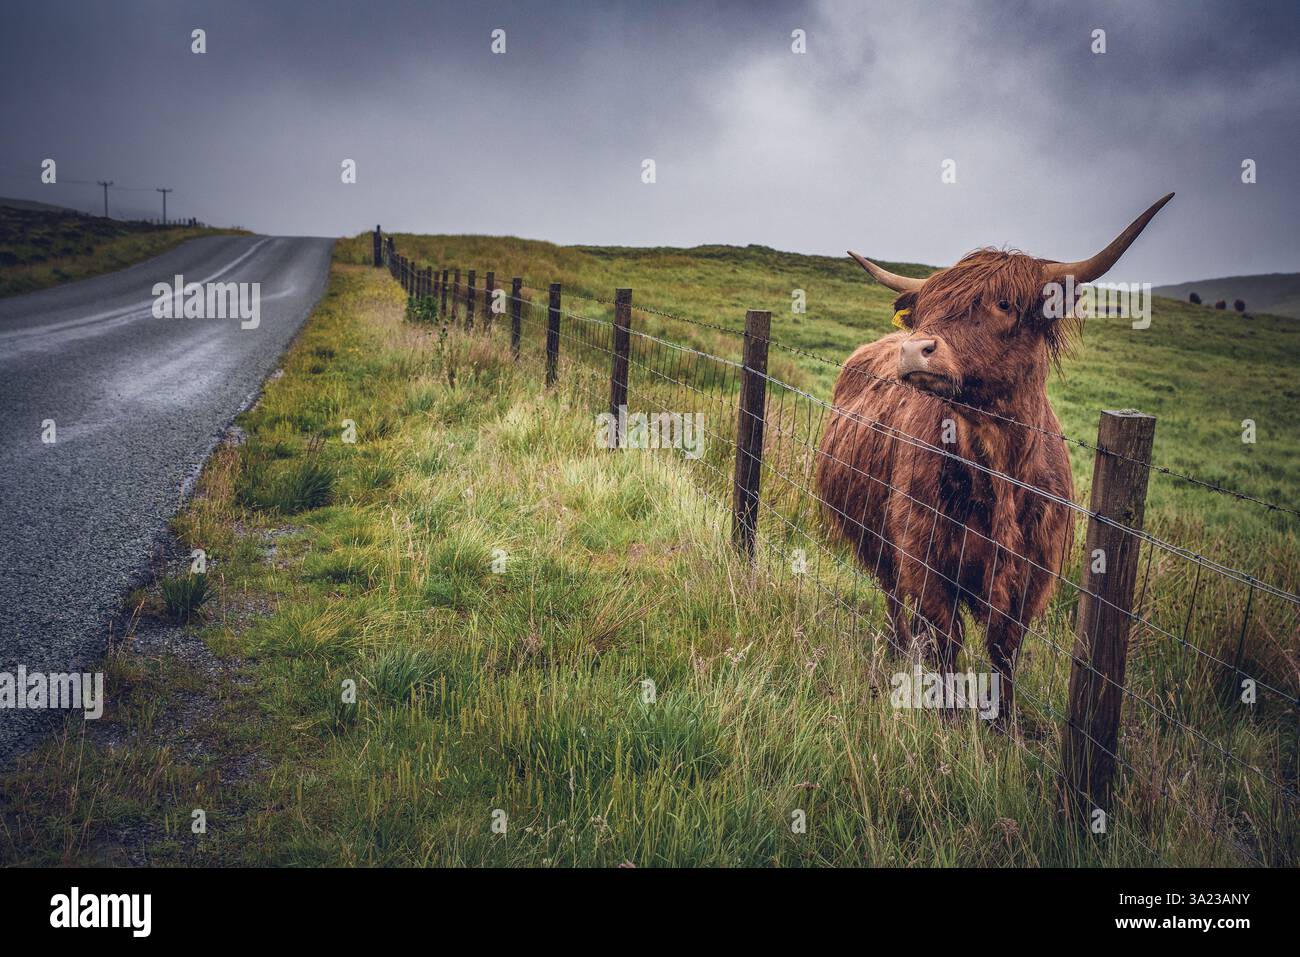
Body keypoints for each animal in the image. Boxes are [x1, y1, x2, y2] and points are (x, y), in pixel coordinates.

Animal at [817, 194, 1174, 726]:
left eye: (1004, 304)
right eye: (926, 307)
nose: (913, 350)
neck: (998, 471)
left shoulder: (1033, 576)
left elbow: (1005, 650)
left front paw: (1003, 724)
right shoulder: (925, 558)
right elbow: (945, 639)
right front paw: (946, 716)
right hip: (873, 539)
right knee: (893, 597)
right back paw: (897, 651)